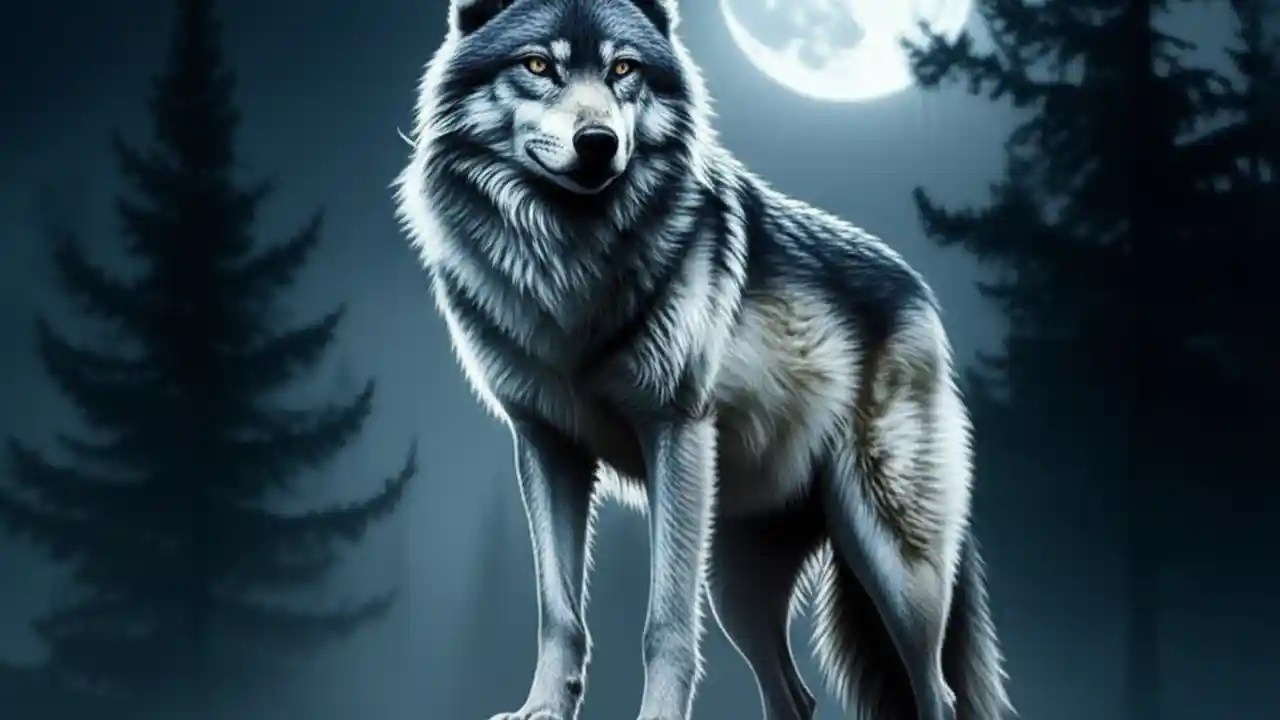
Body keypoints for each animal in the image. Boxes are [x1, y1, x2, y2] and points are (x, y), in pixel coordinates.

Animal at [394, 1, 1012, 719]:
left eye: (623, 69)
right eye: (539, 65)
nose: (598, 141)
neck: (569, 265)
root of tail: (920, 292)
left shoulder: (675, 431)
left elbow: (664, 623)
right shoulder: (545, 444)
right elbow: (558, 612)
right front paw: (543, 709)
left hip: (891, 561)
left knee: (937, 690)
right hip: (737, 582)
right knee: (796, 695)